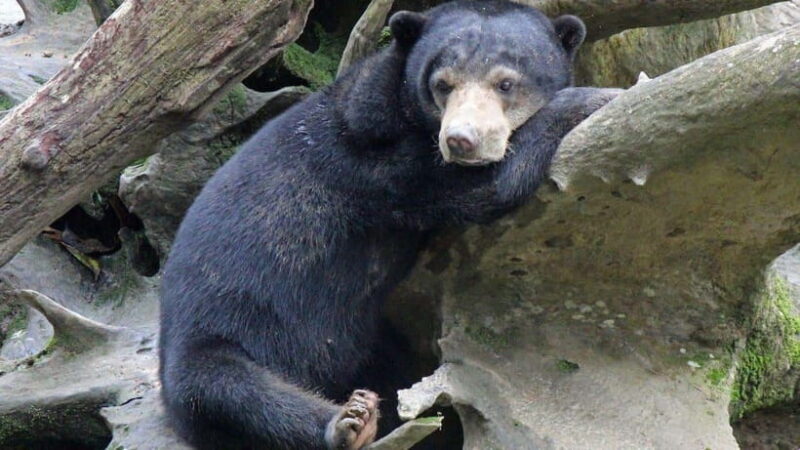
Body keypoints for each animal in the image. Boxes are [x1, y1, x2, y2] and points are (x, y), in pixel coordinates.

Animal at [159, 1, 620, 449]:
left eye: (506, 83)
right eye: (443, 84)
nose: (461, 140)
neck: (397, 107)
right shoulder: (378, 166)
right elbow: (486, 186)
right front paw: (597, 96)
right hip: (214, 338)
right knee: (232, 390)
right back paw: (349, 424)